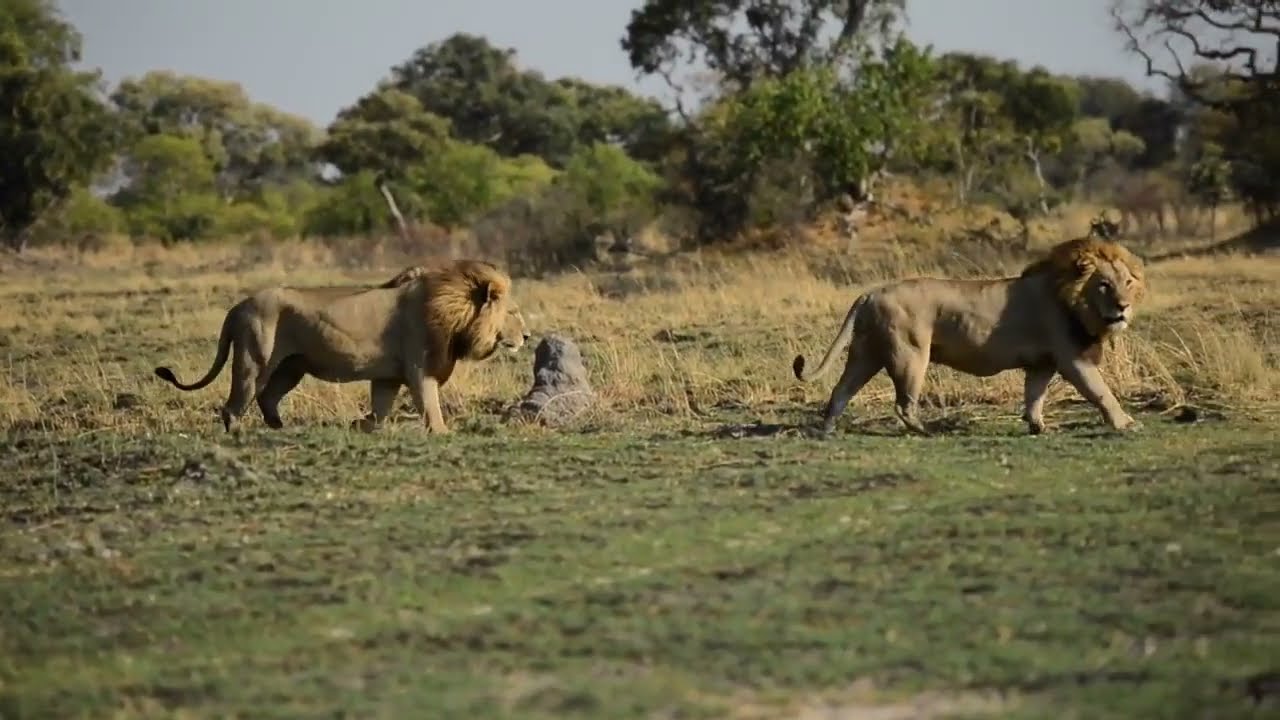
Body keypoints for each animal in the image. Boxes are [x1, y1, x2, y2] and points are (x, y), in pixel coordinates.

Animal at [154, 258, 529, 433]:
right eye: (513, 312)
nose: (527, 337)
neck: (451, 309)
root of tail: (238, 306)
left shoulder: (388, 376)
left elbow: (381, 408)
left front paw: (362, 425)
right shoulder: (419, 369)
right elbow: (429, 404)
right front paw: (442, 432)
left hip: (291, 366)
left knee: (268, 398)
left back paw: (282, 428)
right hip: (254, 360)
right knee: (235, 404)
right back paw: (238, 433)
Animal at [793, 235, 1147, 435]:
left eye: (1128, 282)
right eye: (1104, 285)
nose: (1124, 307)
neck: (1072, 298)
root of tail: (868, 294)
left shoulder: (1042, 363)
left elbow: (1034, 396)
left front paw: (1037, 427)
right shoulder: (1072, 358)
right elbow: (1101, 391)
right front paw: (1126, 423)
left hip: (866, 353)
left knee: (841, 390)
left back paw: (827, 431)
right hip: (909, 355)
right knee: (902, 404)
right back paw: (929, 430)